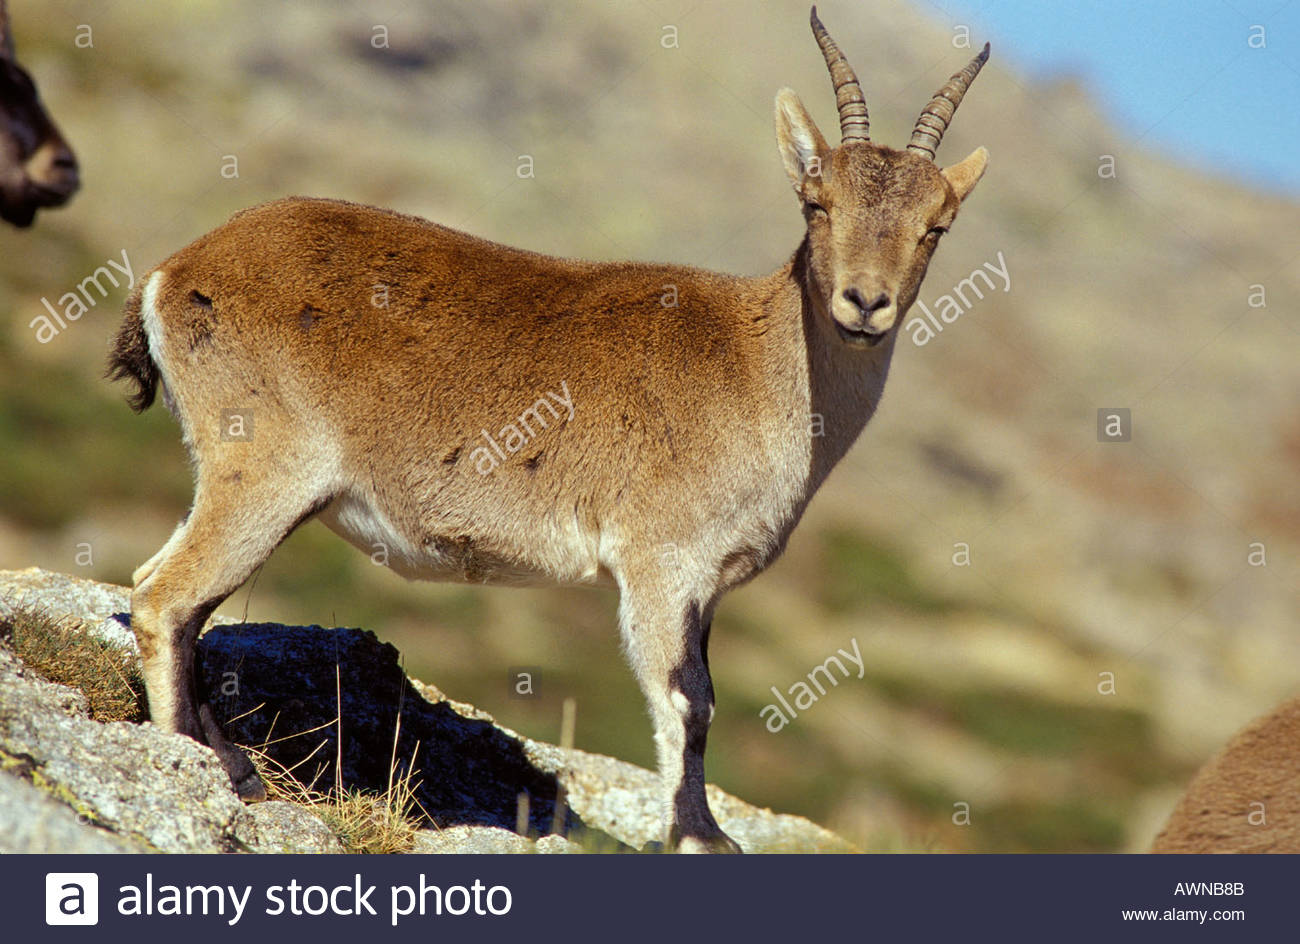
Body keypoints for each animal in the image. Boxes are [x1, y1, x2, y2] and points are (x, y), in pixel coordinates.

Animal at [108, 7, 989, 852]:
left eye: (936, 226)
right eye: (817, 203)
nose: (865, 303)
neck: (755, 365)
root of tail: (174, 272)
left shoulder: (702, 586)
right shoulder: (660, 562)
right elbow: (689, 699)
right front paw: (699, 836)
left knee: (177, 597)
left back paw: (235, 765)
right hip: (267, 466)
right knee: (165, 595)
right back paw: (209, 767)